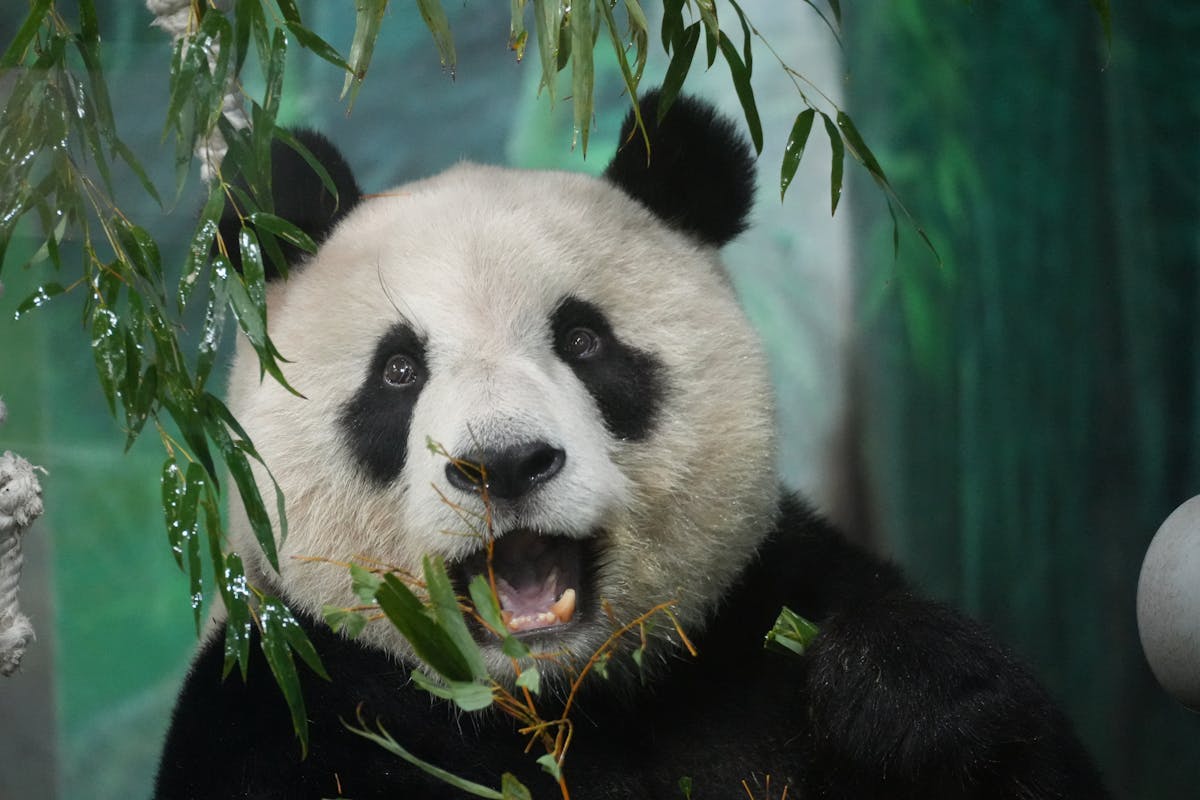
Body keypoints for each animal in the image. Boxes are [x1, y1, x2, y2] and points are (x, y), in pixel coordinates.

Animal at [154, 92, 1110, 799]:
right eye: (397, 370)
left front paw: (899, 692)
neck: (561, 702)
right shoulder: (289, 707)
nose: (504, 463)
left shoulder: (756, 614)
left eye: (583, 340)